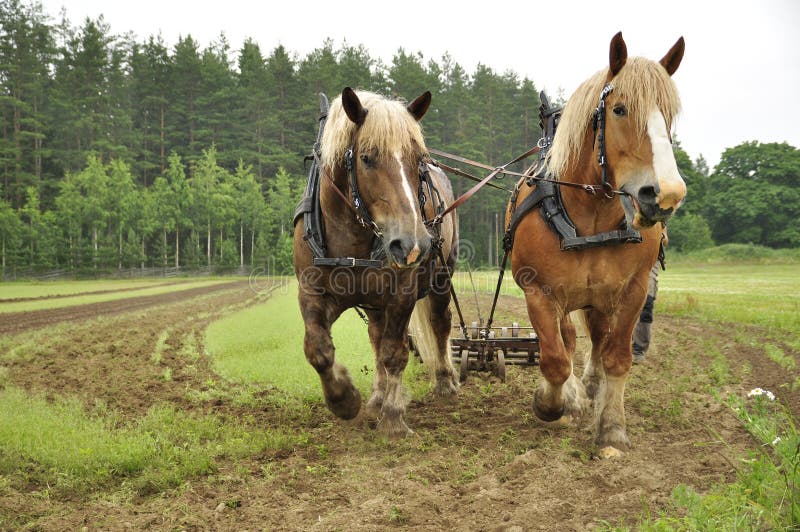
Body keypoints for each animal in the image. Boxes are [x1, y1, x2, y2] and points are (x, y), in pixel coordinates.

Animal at [293, 88, 460, 437]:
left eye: (418, 160)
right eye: (367, 158)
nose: (412, 243)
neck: (352, 236)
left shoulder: (402, 293)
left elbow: (394, 353)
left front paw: (394, 418)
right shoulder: (312, 291)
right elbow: (318, 349)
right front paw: (344, 399)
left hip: (441, 276)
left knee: (440, 322)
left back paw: (444, 382)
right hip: (372, 301)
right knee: (375, 334)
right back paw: (377, 395)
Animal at [507, 32, 687, 458]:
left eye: (669, 116)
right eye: (619, 109)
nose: (666, 194)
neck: (590, 219)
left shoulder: (634, 289)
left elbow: (617, 357)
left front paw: (612, 429)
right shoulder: (539, 292)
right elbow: (555, 358)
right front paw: (552, 404)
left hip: (600, 297)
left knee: (599, 339)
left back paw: (591, 387)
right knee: (568, 341)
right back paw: (573, 396)